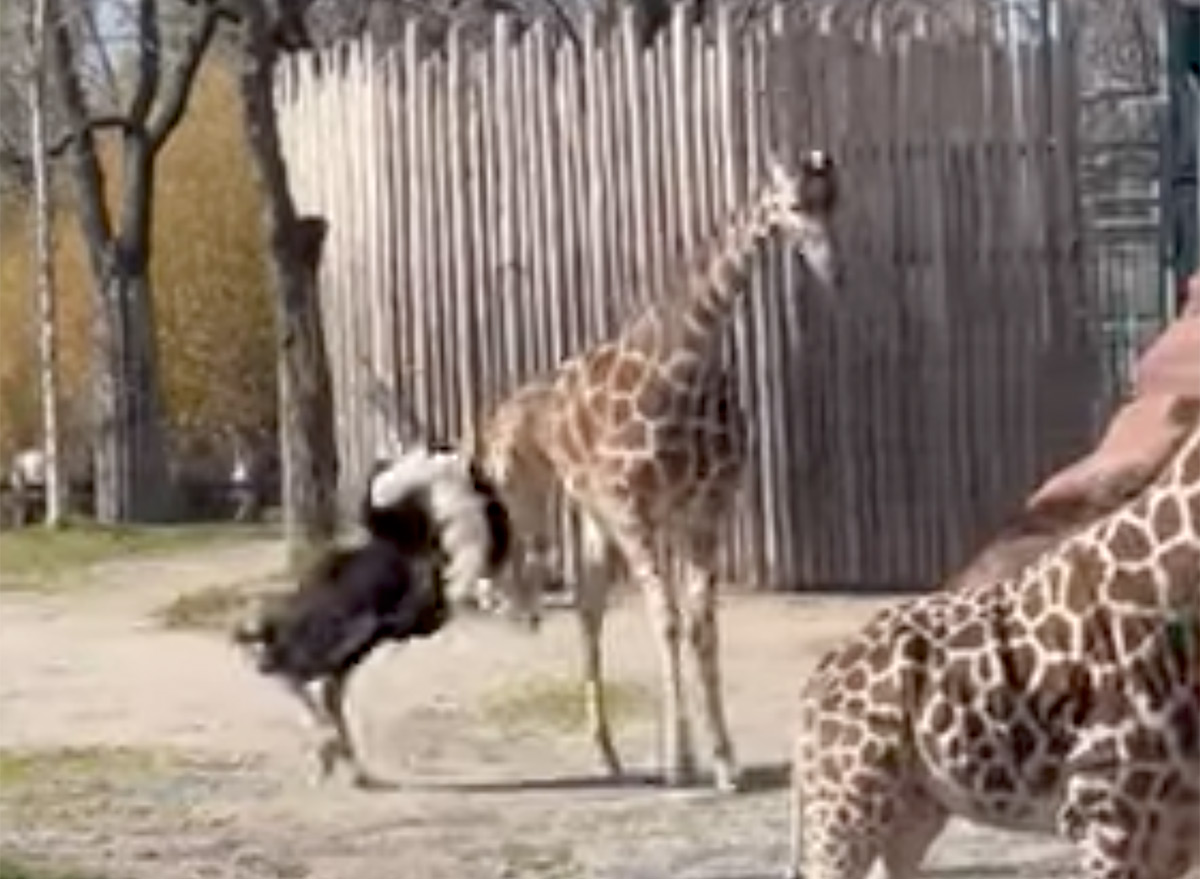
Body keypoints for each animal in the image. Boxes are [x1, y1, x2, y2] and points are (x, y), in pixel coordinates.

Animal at [474, 151, 842, 791]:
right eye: (794, 205)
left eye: (835, 200)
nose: (829, 270)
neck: (688, 369)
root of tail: (516, 405)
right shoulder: (635, 509)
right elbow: (666, 621)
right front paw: (679, 764)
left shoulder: (706, 508)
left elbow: (701, 624)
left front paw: (723, 761)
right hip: (547, 503)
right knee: (579, 602)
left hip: (597, 519)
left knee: (590, 605)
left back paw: (609, 755)